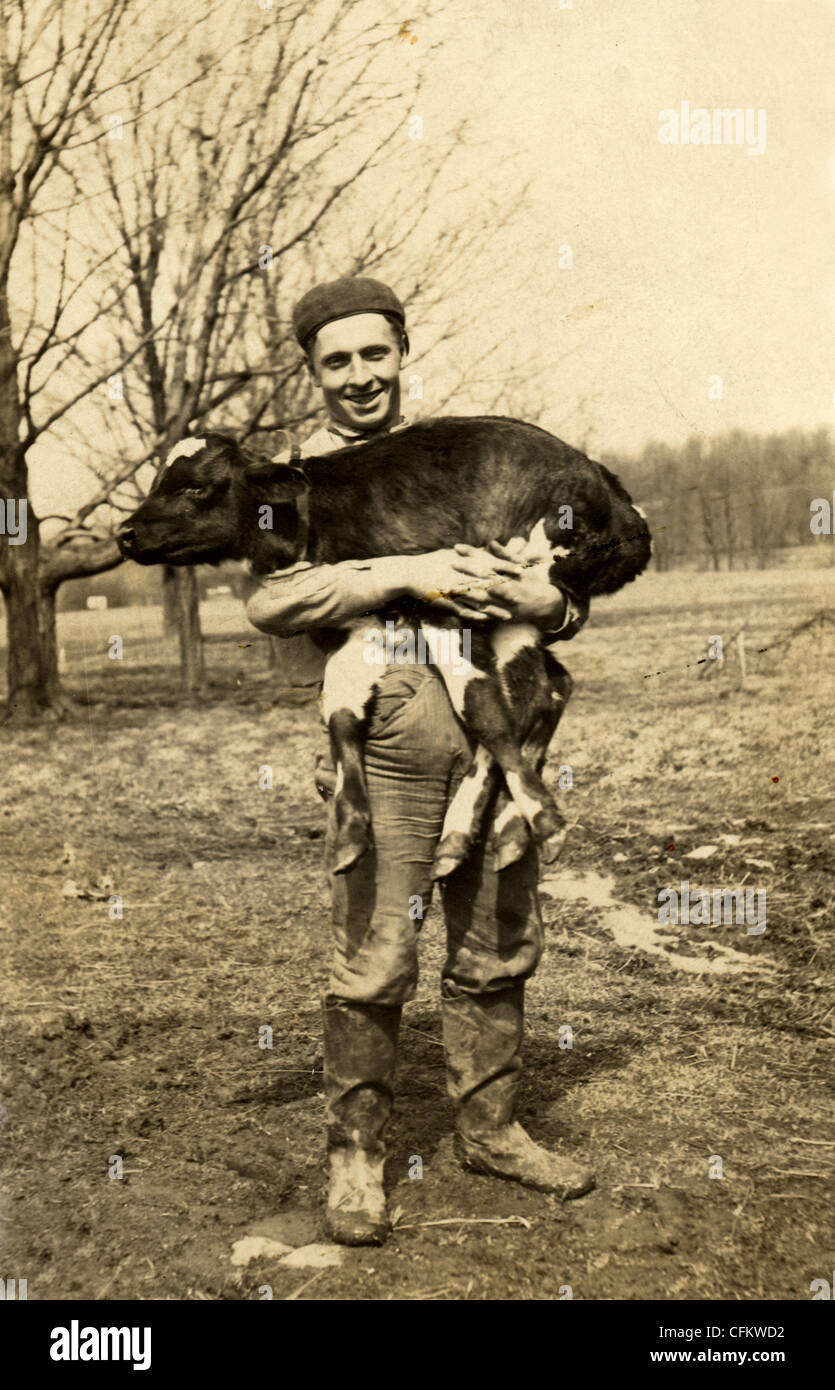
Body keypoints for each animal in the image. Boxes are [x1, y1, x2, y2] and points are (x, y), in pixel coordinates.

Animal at [117, 416, 651, 877]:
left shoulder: (446, 604)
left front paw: (549, 822)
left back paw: (489, 827)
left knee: (523, 699)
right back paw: (502, 830)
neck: (316, 518)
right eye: (156, 482)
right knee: (554, 686)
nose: (124, 533)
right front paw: (352, 829)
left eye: (195, 486)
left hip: (520, 587)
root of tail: (620, 500)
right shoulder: (357, 624)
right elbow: (341, 711)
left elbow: (482, 709)